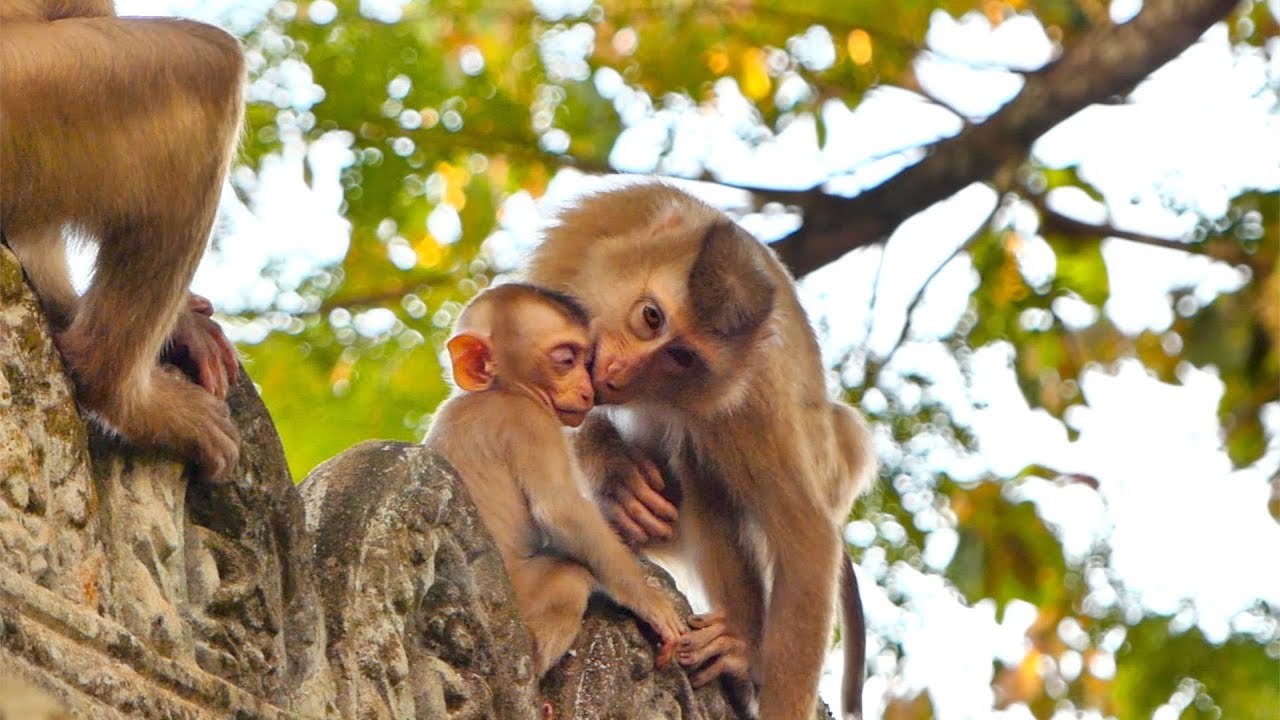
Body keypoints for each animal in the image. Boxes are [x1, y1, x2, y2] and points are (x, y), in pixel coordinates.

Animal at [423, 282, 686, 680]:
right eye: (566, 360)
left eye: (587, 361)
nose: (587, 390)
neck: (499, 391)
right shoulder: (531, 423)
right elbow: (561, 510)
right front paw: (649, 602)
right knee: (569, 578)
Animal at [525, 183, 877, 719]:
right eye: (651, 317)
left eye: (682, 357)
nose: (619, 372)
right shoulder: (571, 256)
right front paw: (615, 470)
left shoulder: (748, 407)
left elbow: (808, 540)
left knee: (703, 466)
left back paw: (738, 652)